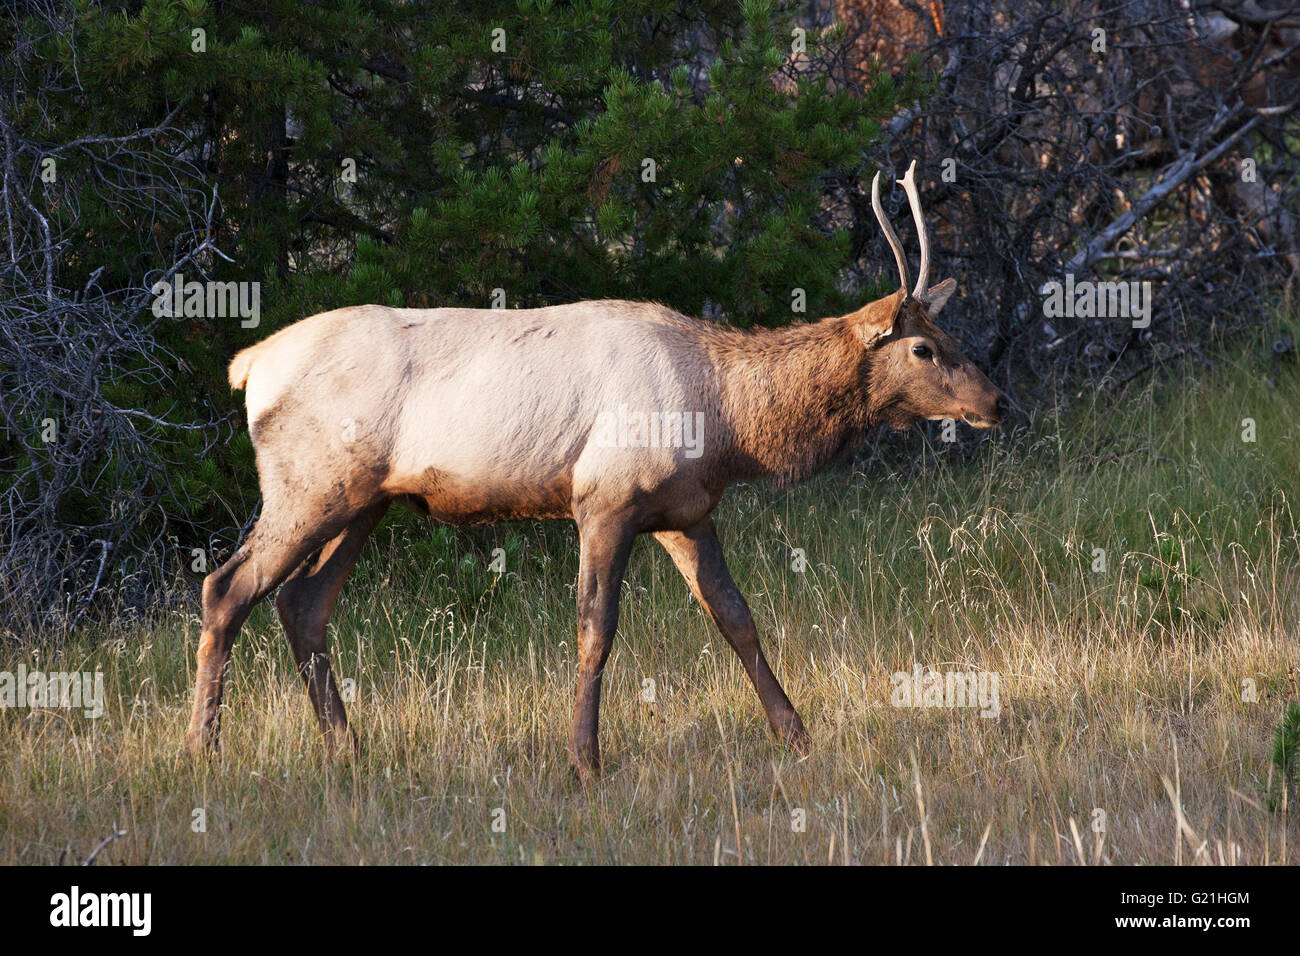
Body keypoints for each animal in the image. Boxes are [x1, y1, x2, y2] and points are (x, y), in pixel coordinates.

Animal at [185, 160, 1005, 782]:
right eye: (923, 348)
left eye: (948, 335)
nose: (996, 400)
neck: (726, 423)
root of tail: (248, 366)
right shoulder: (604, 499)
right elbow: (595, 630)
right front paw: (585, 760)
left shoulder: (686, 512)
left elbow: (738, 620)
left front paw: (797, 736)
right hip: (310, 485)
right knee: (227, 587)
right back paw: (201, 748)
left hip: (365, 502)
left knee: (302, 605)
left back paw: (348, 749)